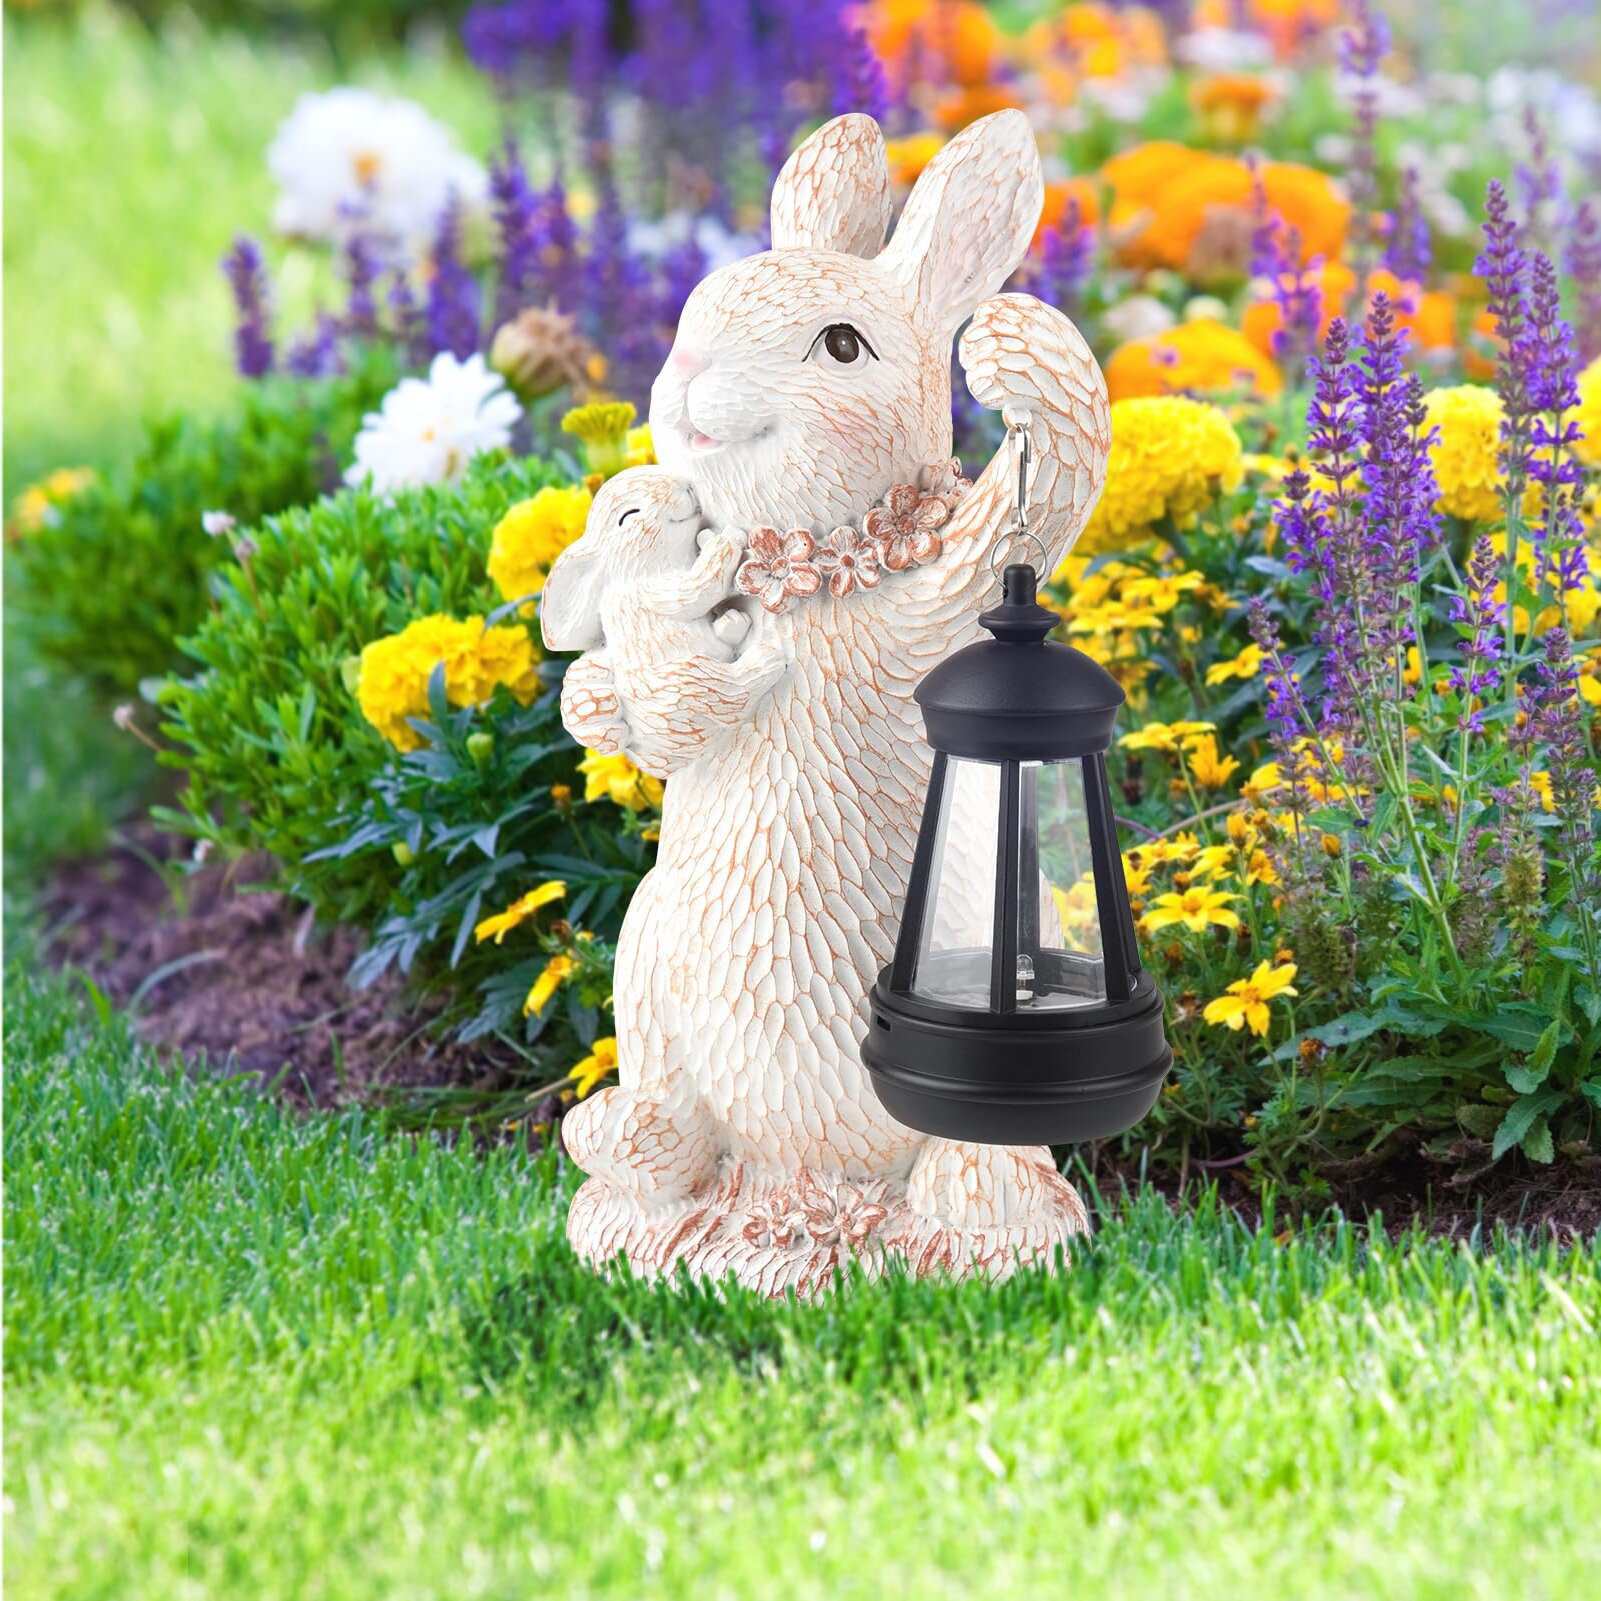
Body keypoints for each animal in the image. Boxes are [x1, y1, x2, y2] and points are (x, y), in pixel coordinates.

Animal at [546, 468, 788, 776]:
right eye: (629, 514)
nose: (683, 486)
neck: (630, 570)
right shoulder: (655, 590)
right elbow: (700, 585)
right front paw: (724, 539)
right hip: (688, 683)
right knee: (732, 692)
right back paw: (765, 660)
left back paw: (732, 624)